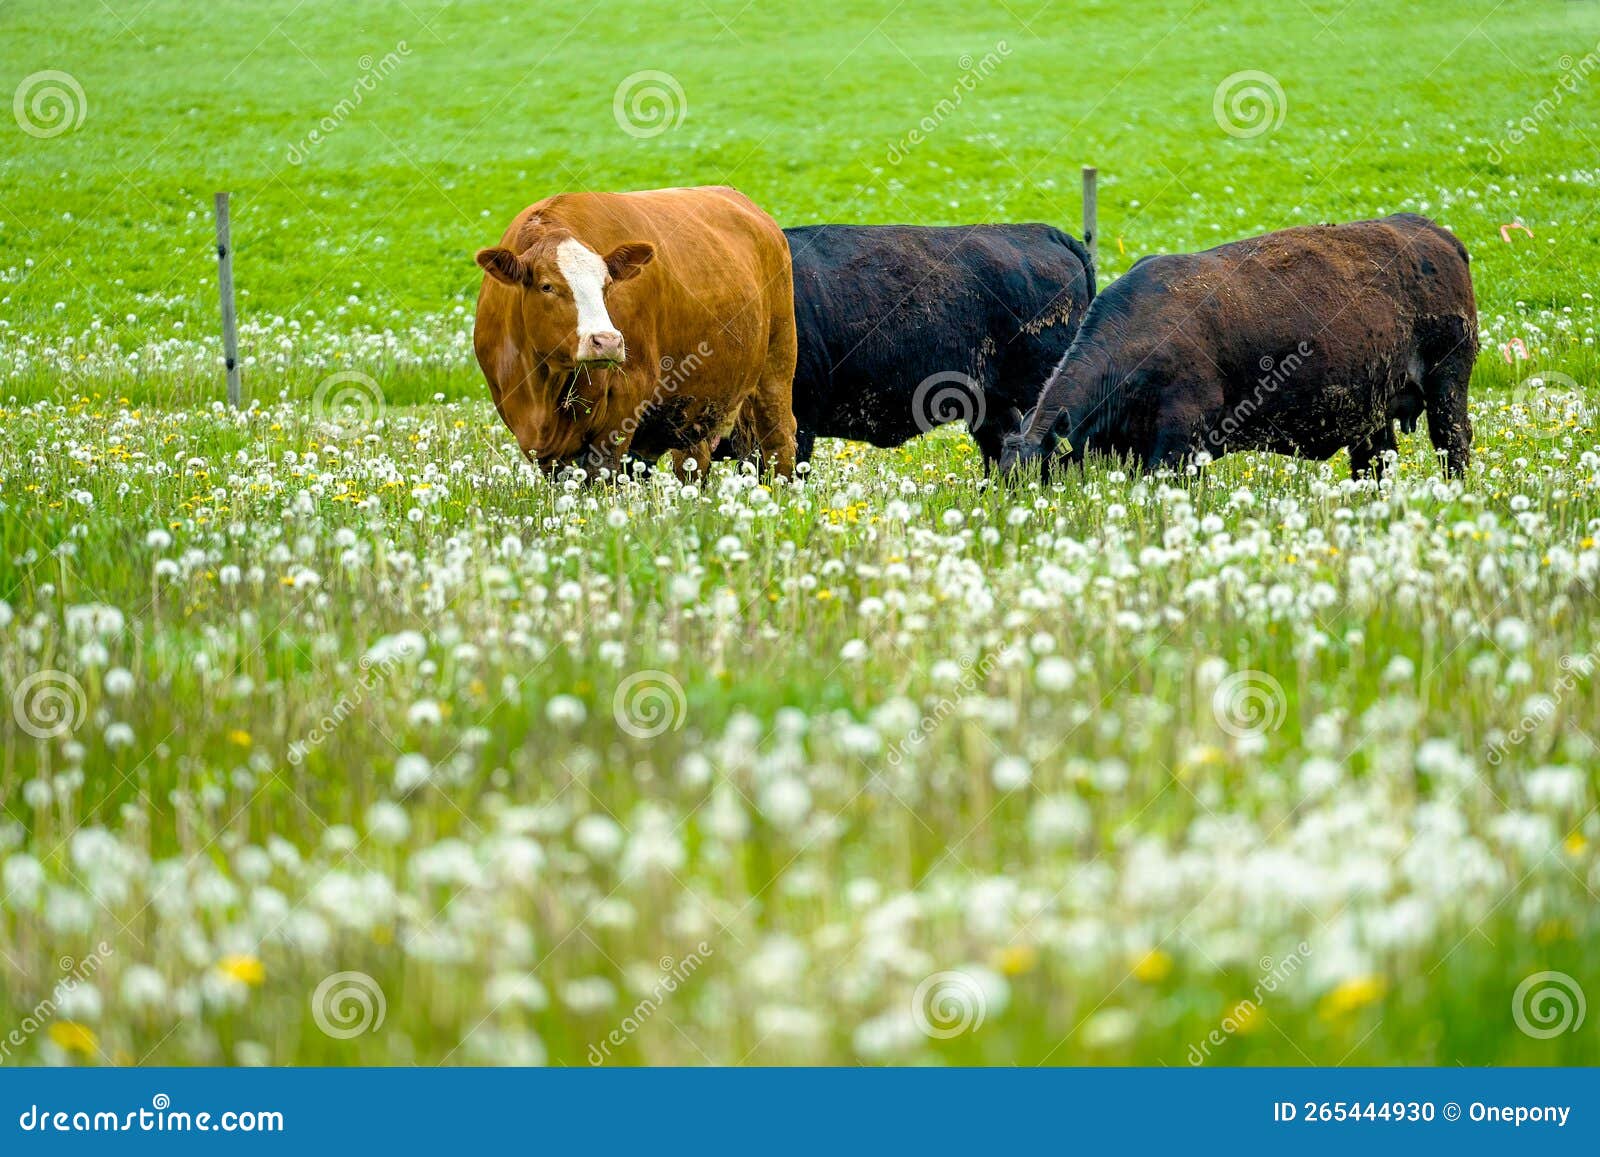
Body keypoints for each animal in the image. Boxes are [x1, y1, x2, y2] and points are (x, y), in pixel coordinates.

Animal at [473, 185, 798, 479]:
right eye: (547, 286)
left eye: (607, 285)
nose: (607, 342)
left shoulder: (624, 402)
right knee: (693, 463)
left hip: (775, 369)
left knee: (779, 444)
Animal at [999, 213, 1477, 481]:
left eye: (1034, 479)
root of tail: (1433, 232)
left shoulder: (1179, 441)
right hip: (1373, 412)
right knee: (1376, 462)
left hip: (1447, 387)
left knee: (1453, 443)